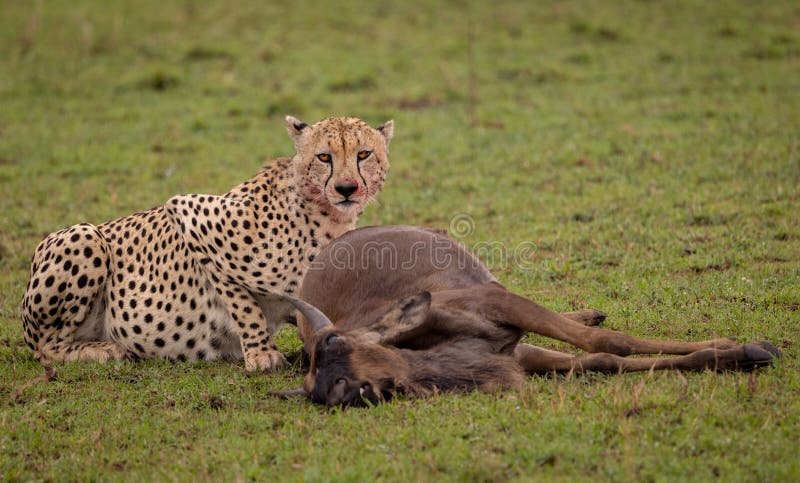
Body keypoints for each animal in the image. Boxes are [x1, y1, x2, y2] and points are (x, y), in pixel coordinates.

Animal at [21, 115, 394, 371]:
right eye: (324, 157)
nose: (347, 188)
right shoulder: (189, 215)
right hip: (84, 237)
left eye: (363, 154)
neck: (324, 214)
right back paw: (103, 349)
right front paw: (262, 354)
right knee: (47, 347)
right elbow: (245, 307)